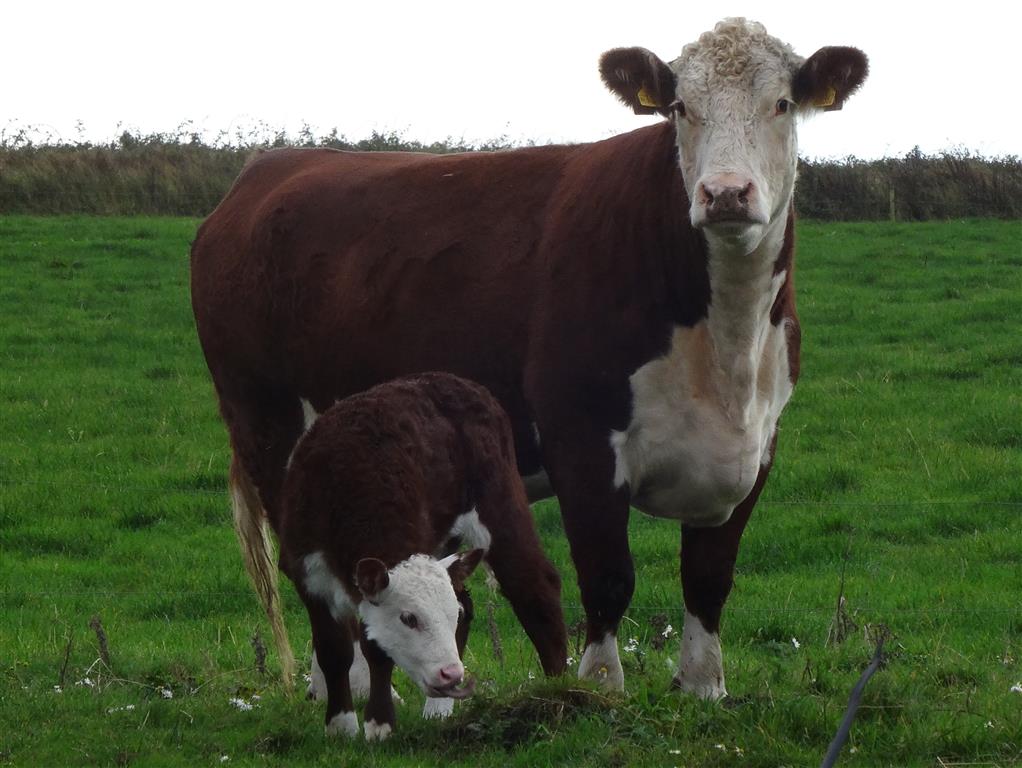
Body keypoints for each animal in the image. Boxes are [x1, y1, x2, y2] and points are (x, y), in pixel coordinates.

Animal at [190, 17, 868, 700]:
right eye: (680, 107)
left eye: (781, 104)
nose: (725, 194)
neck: (724, 348)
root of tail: (272, 165)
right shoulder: (580, 439)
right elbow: (607, 575)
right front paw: (600, 687)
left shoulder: (757, 444)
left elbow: (709, 578)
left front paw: (704, 688)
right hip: (266, 424)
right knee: (308, 566)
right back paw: (345, 683)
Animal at [276, 373, 565, 739]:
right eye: (409, 618)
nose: (451, 674)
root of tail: (455, 382)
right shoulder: (307, 575)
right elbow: (333, 650)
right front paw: (340, 725)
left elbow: (376, 649)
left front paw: (379, 724)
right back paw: (438, 711)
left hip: (500, 504)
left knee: (535, 586)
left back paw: (559, 690)